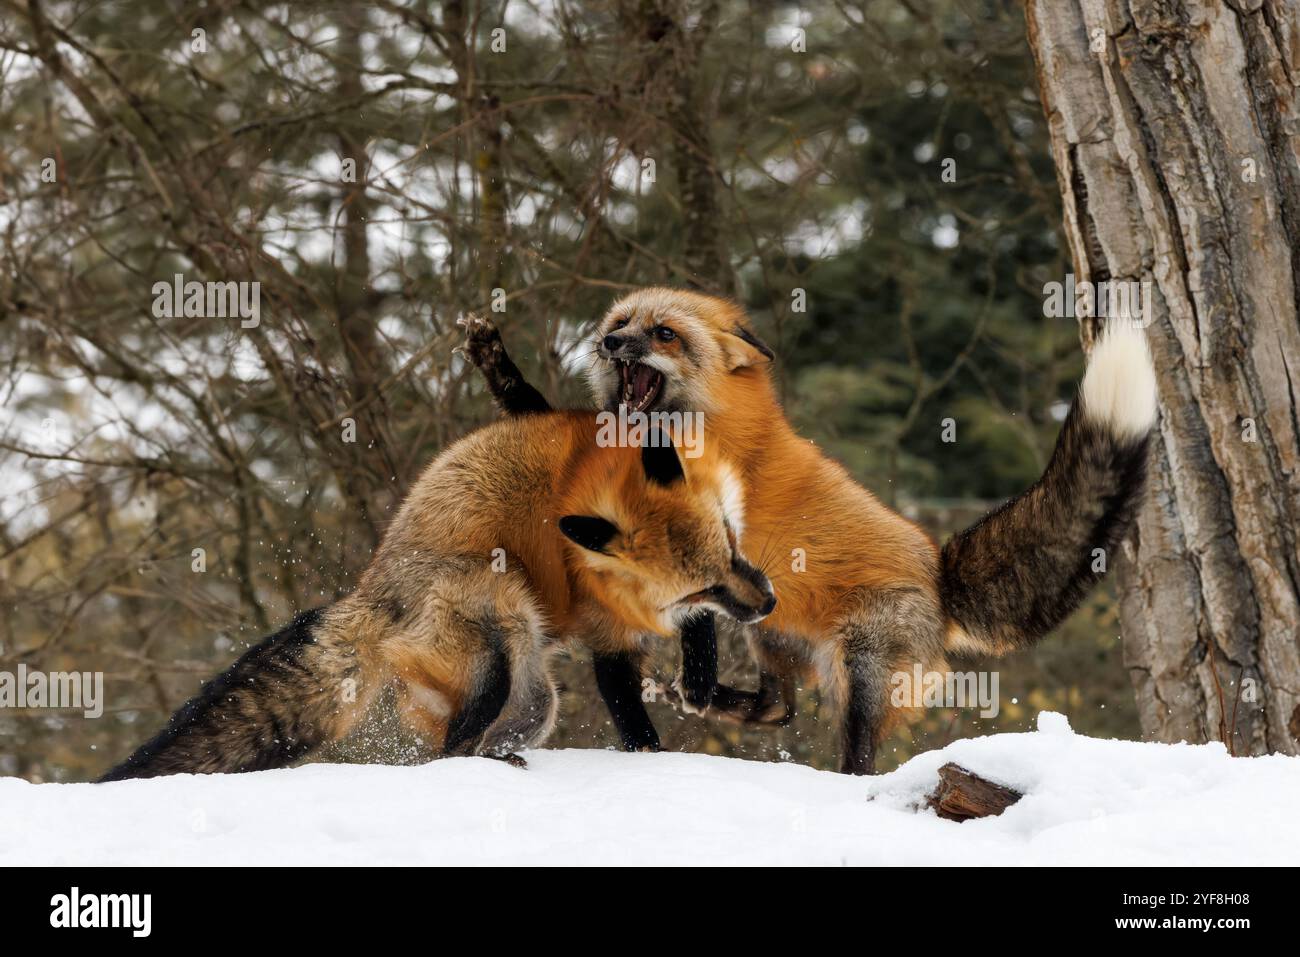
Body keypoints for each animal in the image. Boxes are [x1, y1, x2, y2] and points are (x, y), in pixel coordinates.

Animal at [99, 410, 774, 781]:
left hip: (535, 702)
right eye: (707, 581)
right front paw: (656, 766)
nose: (767, 602)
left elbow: (695, 641)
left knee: (469, 742)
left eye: (732, 545)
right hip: (498, 645)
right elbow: (633, 715)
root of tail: (373, 589)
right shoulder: (607, 636)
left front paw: (705, 680)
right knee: (449, 752)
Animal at [464, 288, 1158, 773]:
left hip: (860, 673)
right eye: (619, 327)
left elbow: (696, 628)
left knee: (854, 754)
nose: (608, 346)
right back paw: (703, 699)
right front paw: (492, 360)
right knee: (778, 707)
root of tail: (938, 571)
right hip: (770, 631)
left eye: (664, 333)